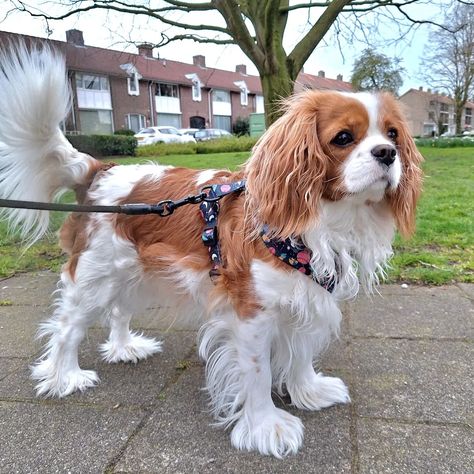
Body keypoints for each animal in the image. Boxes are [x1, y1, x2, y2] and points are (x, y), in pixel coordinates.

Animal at [0, 43, 422, 456]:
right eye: (343, 138)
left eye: (393, 134)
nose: (387, 153)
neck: (320, 221)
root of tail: (101, 170)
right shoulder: (252, 312)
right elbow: (258, 371)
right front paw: (266, 427)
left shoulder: (309, 296)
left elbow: (302, 351)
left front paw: (308, 390)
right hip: (94, 277)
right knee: (68, 328)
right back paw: (64, 377)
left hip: (133, 274)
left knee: (119, 311)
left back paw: (124, 348)